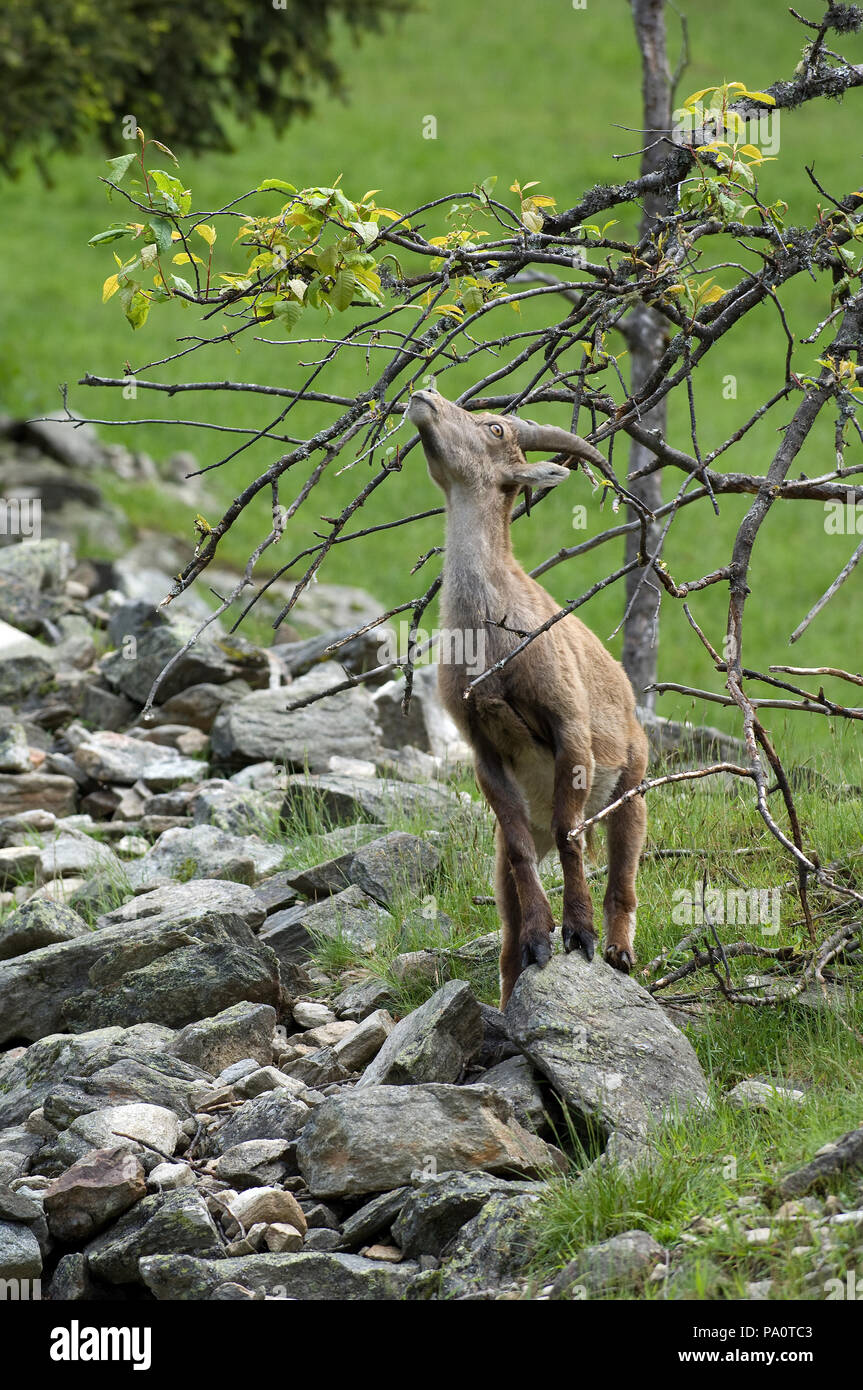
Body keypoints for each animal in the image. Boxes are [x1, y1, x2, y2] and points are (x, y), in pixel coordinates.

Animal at [406, 387, 648, 1007]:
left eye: (494, 428)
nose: (425, 394)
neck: (491, 638)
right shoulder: (482, 746)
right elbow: (518, 853)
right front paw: (543, 941)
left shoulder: (570, 729)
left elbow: (572, 834)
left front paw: (579, 935)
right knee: (509, 912)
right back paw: (511, 989)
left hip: (631, 787)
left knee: (621, 874)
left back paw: (619, 952)